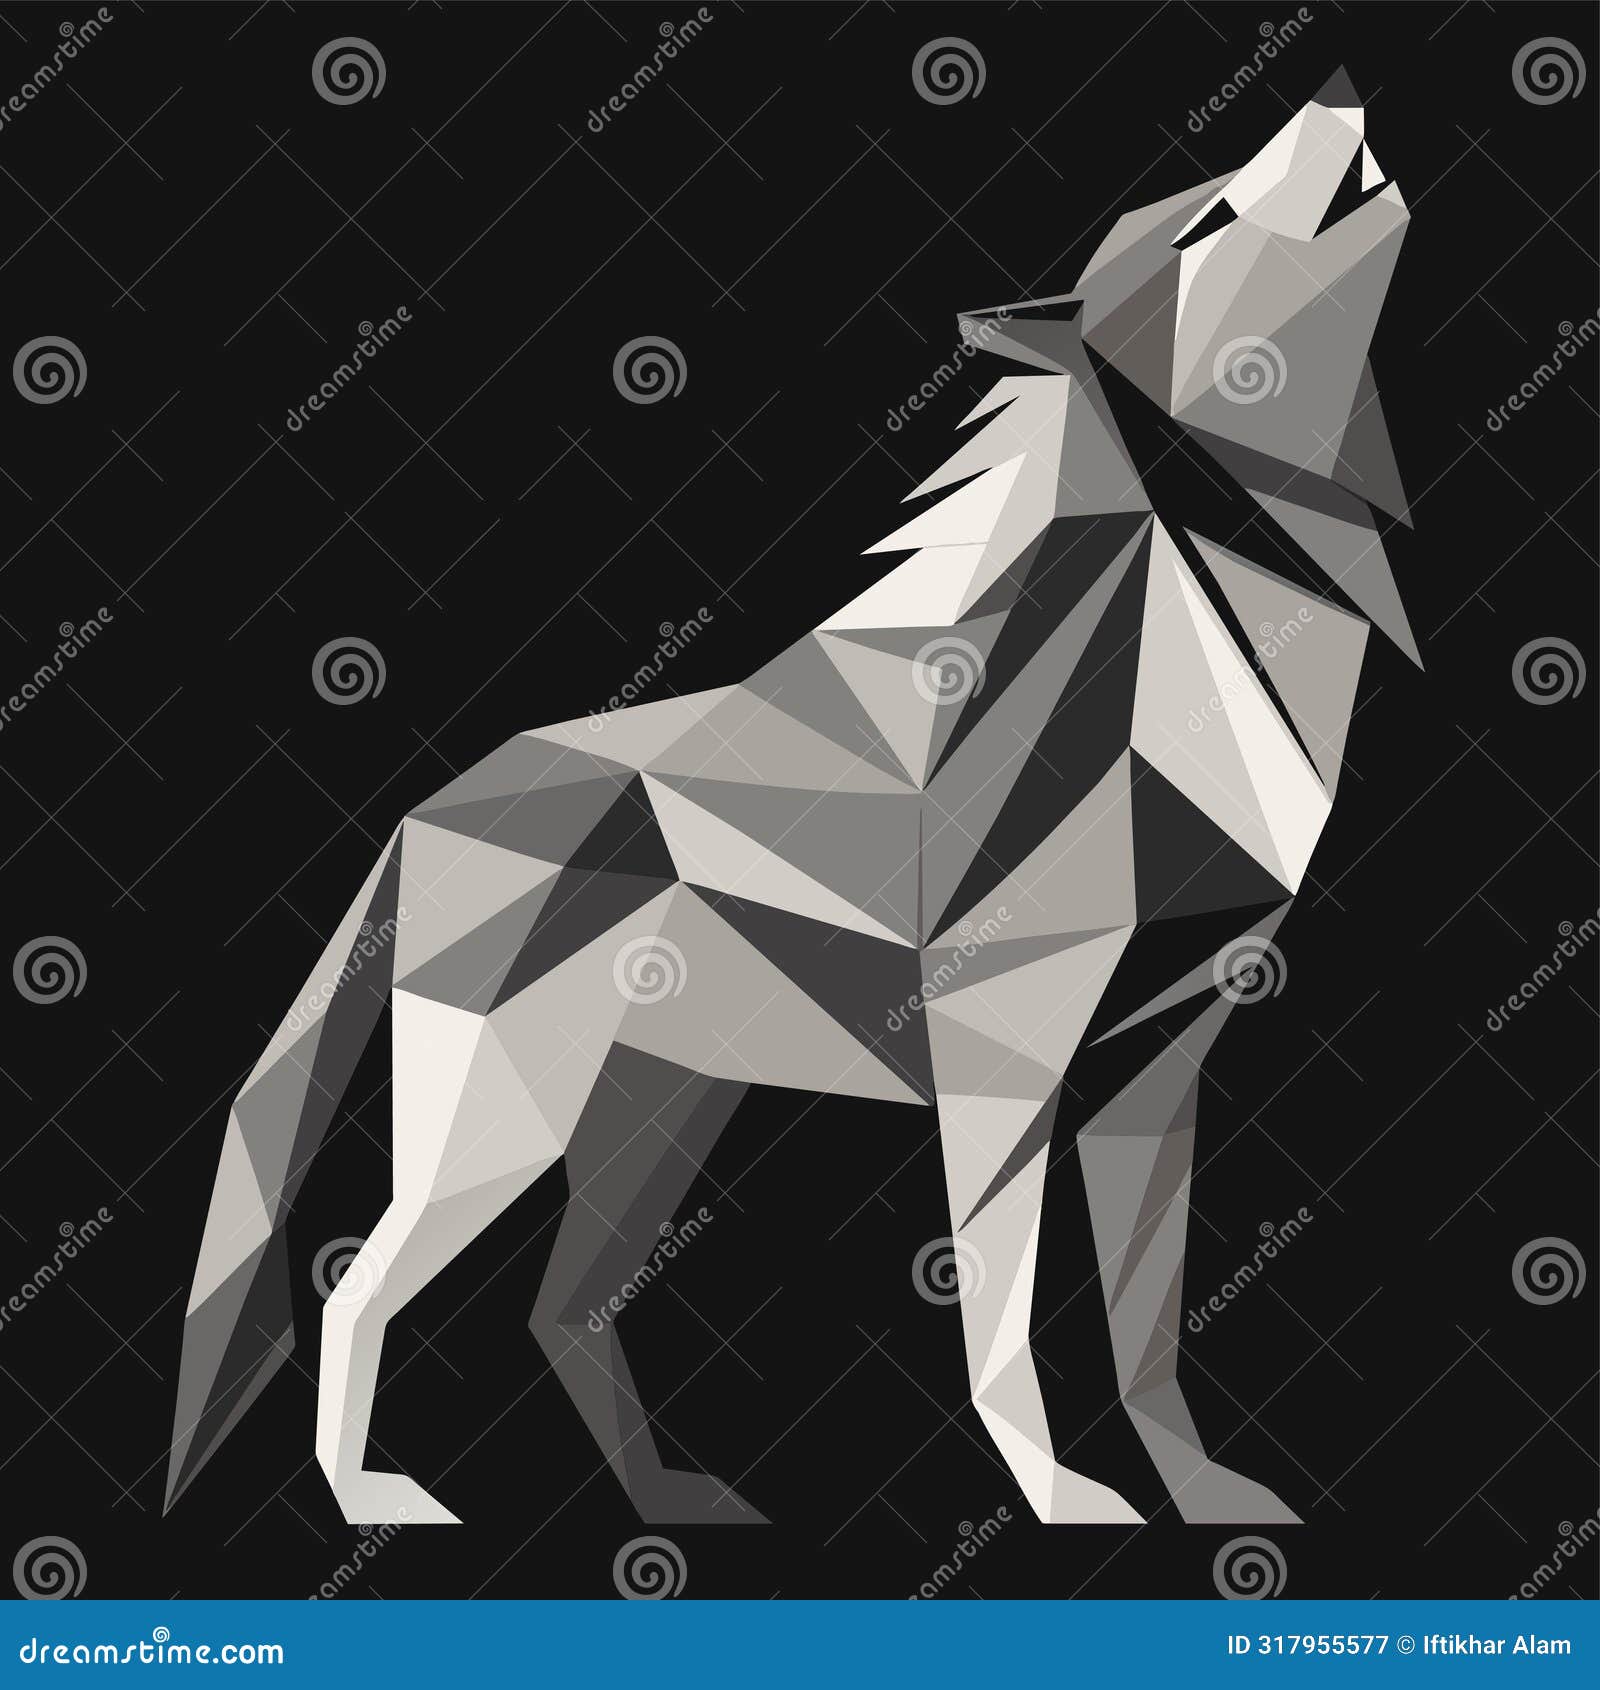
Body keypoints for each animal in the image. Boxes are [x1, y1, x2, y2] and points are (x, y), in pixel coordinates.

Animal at [167, 71, 1417, 1528]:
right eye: (1204, 217)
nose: (1336, 88)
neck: (1231, 641)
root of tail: (420, 816)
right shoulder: (1003, 1076)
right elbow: (1001, 1325)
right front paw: (1062, 1498)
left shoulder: (1159, 1074)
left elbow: (1150, 1330)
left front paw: (1206, 1494)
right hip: (502, 1121)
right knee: (360, 1282)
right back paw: (375, 1497)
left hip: (654, 1121)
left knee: (559, 1309)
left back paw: (668, 1503)